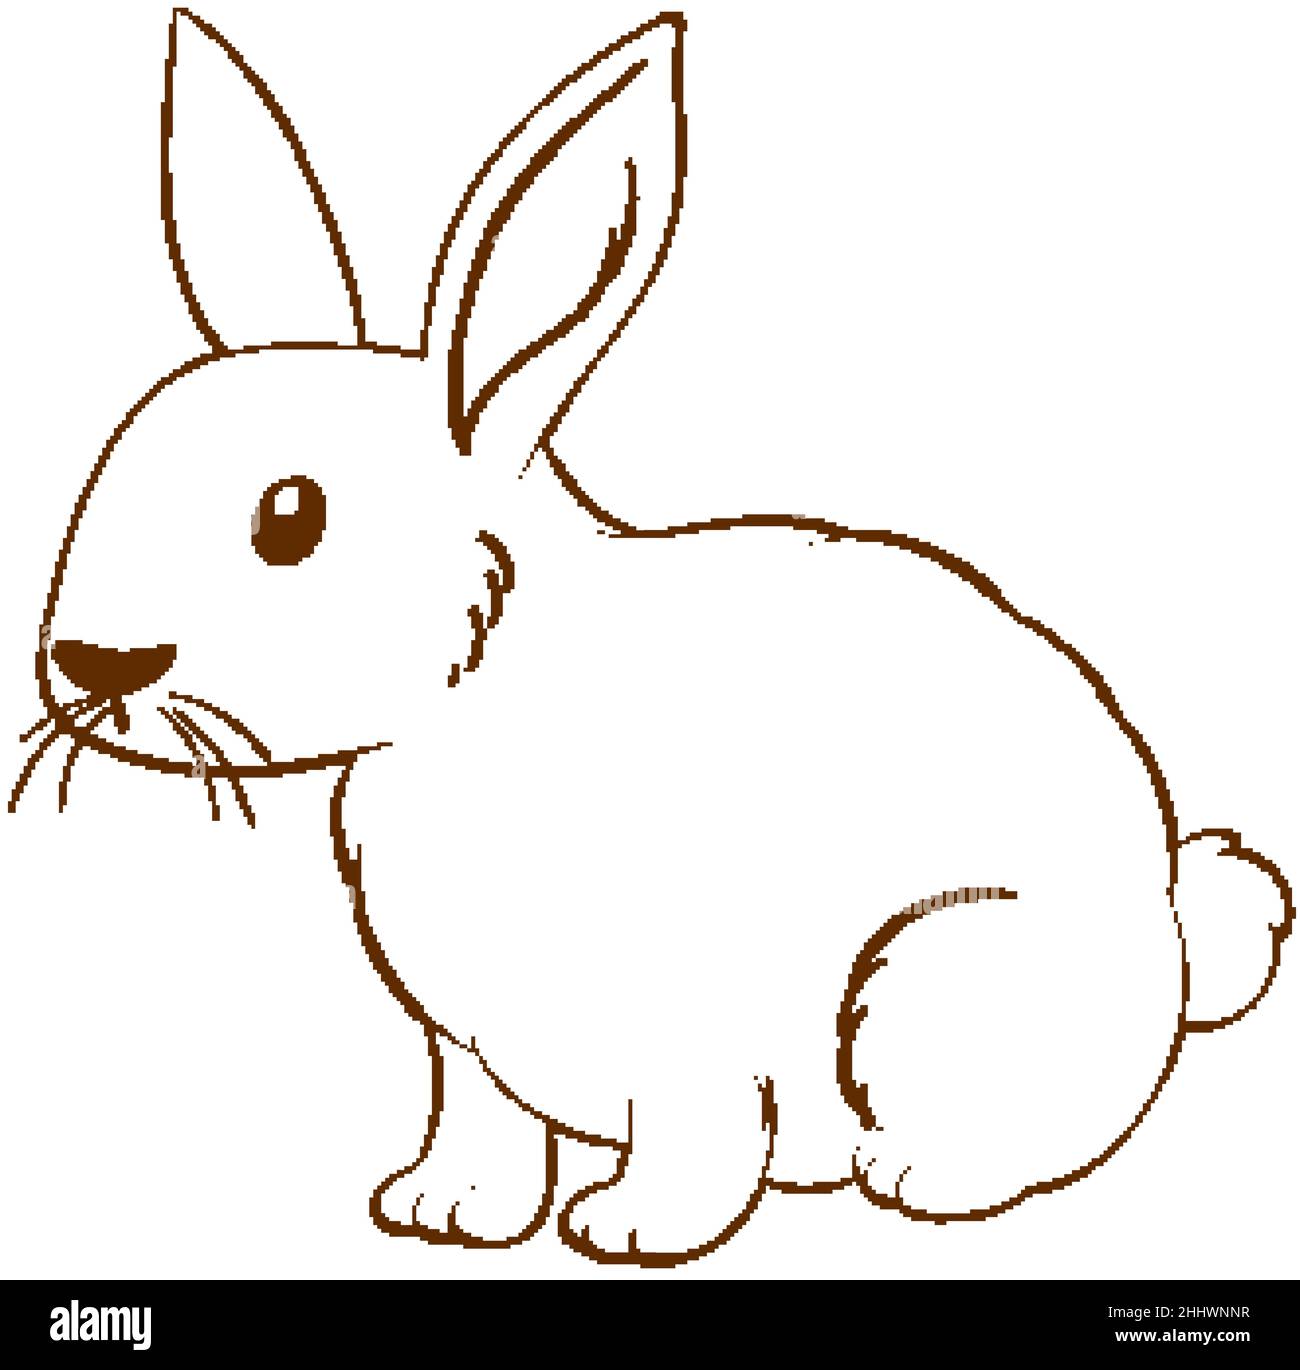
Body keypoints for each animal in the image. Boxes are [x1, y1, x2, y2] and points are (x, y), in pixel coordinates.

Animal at [16, 9, 1292, 1267]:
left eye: (290, 517)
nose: (88, 664)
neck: (475, 695)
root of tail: (1173, 925)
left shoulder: (689, 1028)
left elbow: (698, 1130)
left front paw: (628, 1228)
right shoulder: (465, 1050)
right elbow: (481, 1128)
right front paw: (442, 1211)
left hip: (941, 974)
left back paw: (916, 1176)